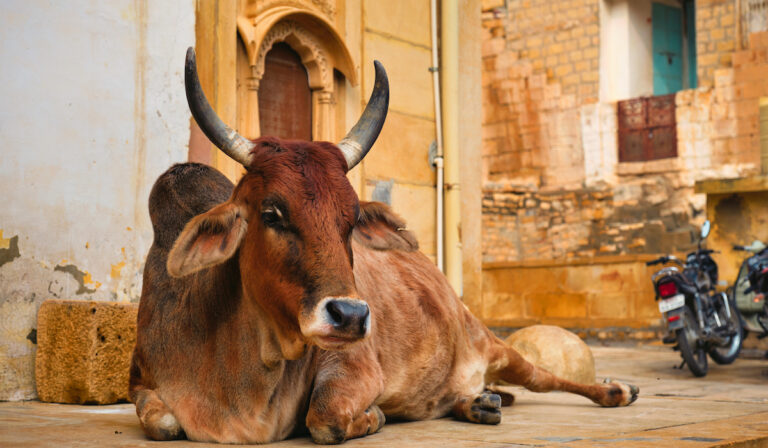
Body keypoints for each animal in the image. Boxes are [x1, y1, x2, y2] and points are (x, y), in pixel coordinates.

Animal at [129, 47, 639, 445]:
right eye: (271, 214)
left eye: (352, 219)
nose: (351, 315)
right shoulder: (142, 382)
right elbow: (164, 423)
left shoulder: (352, 362)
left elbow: (326, 418)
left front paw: (373, 416)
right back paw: (480, 403)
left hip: (494, 345)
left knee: (546, 377)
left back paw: (614, 392)